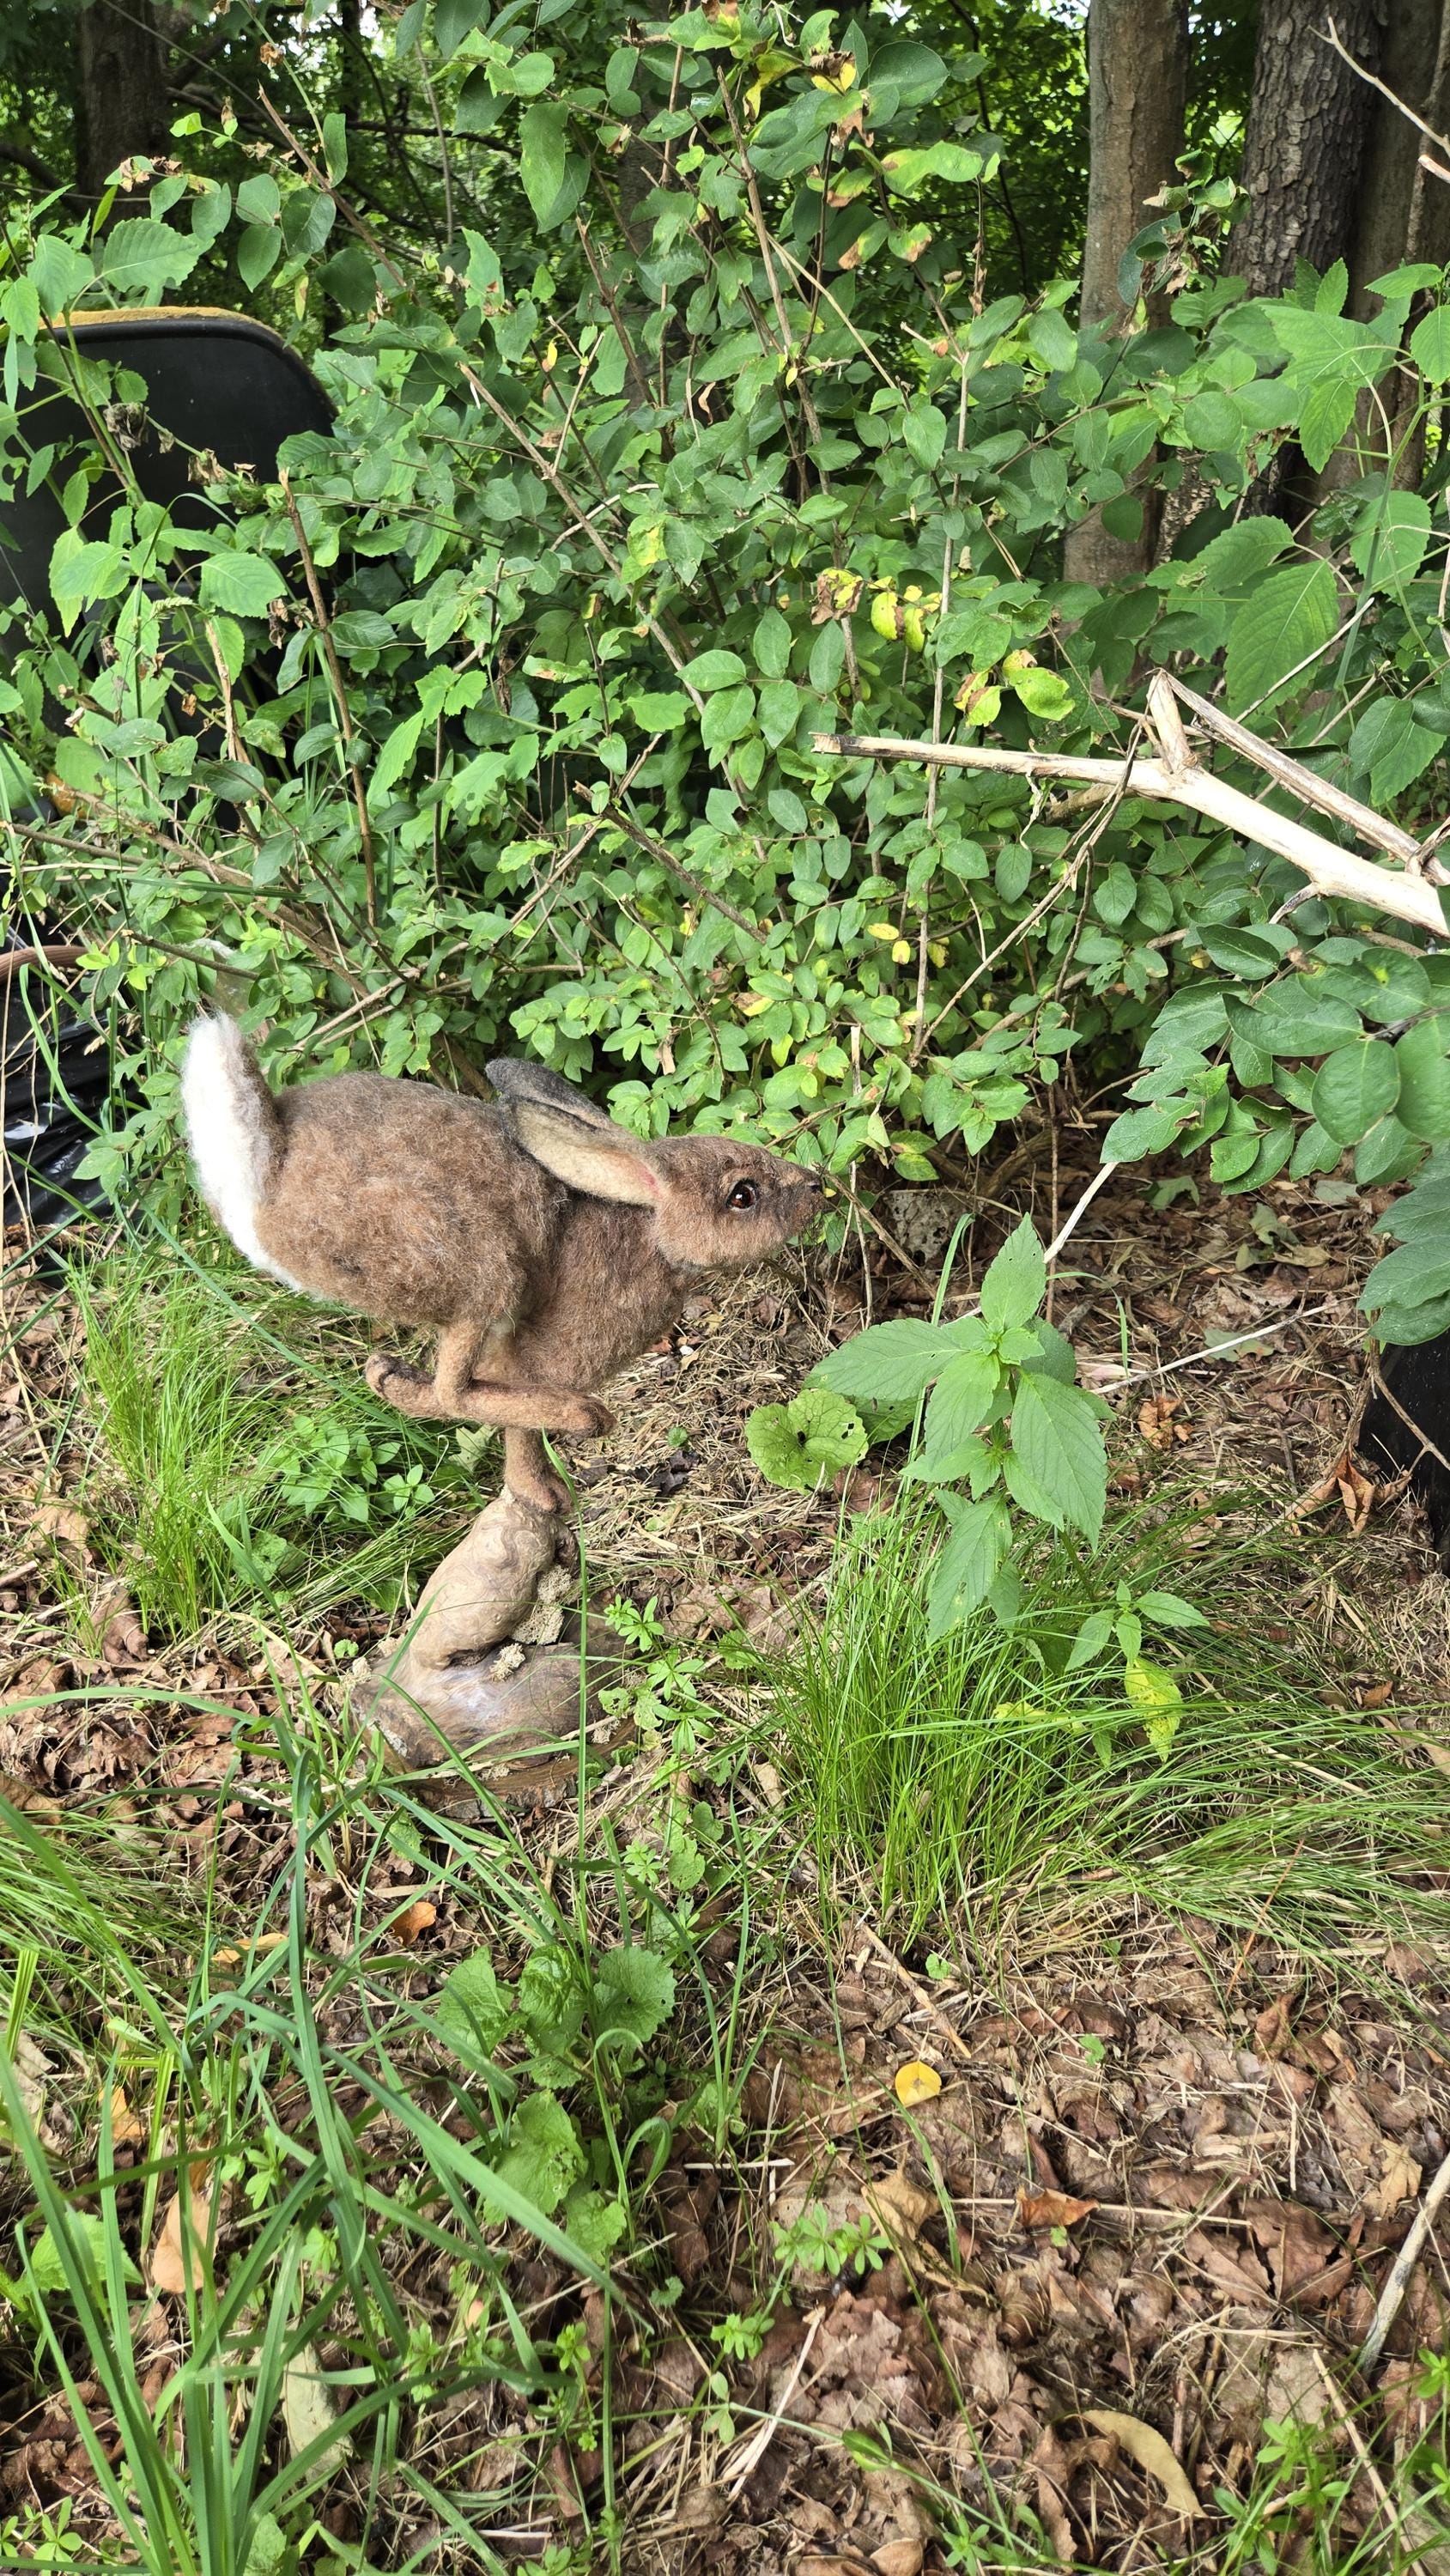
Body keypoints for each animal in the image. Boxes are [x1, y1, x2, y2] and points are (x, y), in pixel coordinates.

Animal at [181, 1014, 823, 1511]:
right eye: (742, 1196)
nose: (818, 1187)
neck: (650, 1230)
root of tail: (260, 1177)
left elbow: (520, 1440)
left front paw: (539, 1499)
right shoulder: (535, 1358)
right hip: (474, 1266)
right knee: (450, 1393)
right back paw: (570, 1412)